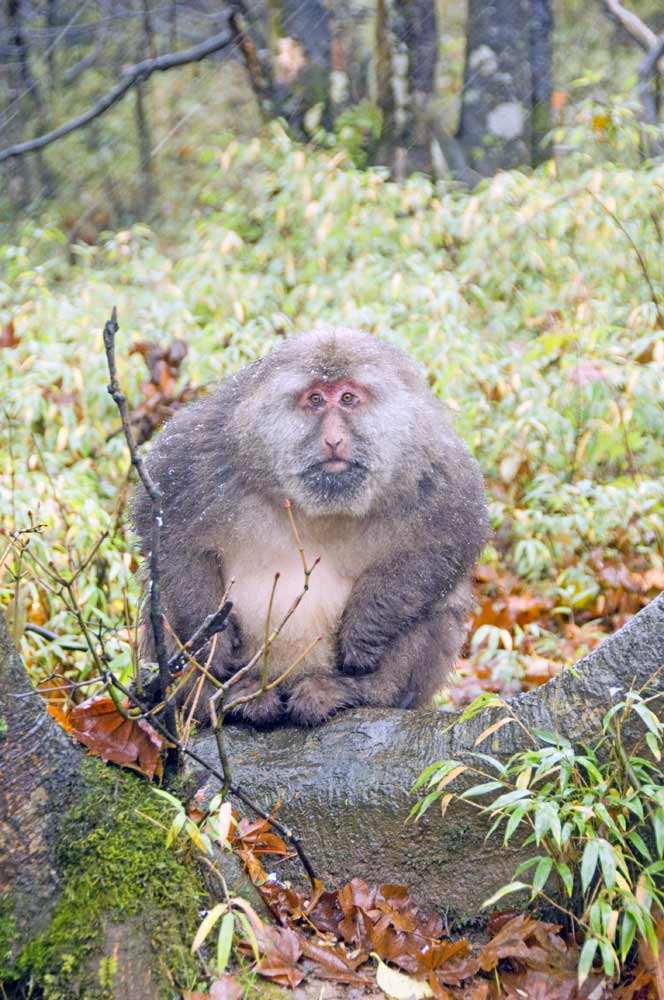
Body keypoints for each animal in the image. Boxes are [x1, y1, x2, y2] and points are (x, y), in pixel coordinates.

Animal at [132, 327, 488, 727]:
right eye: (316, 399)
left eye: (347, 398)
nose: (333, 440)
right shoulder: (203, 447)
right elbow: (166, 533)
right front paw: (210, 641)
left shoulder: (434, 460)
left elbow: (449, 538)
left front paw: (365, 628)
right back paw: (224, 697)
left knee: (441, 604)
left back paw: (354, 693)